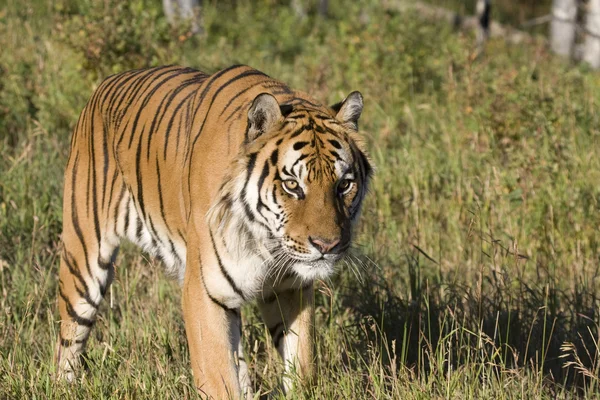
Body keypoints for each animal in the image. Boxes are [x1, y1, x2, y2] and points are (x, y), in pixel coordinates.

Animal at [58, 64, 372, 398]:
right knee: (68, 340)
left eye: (344, 185)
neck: (265, 242)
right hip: (84, 260)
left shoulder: (290, 287)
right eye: (292, 185)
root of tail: (106, 84)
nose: (327, 246)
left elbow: (300, 364)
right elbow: (219, 378)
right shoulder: (204, 293)